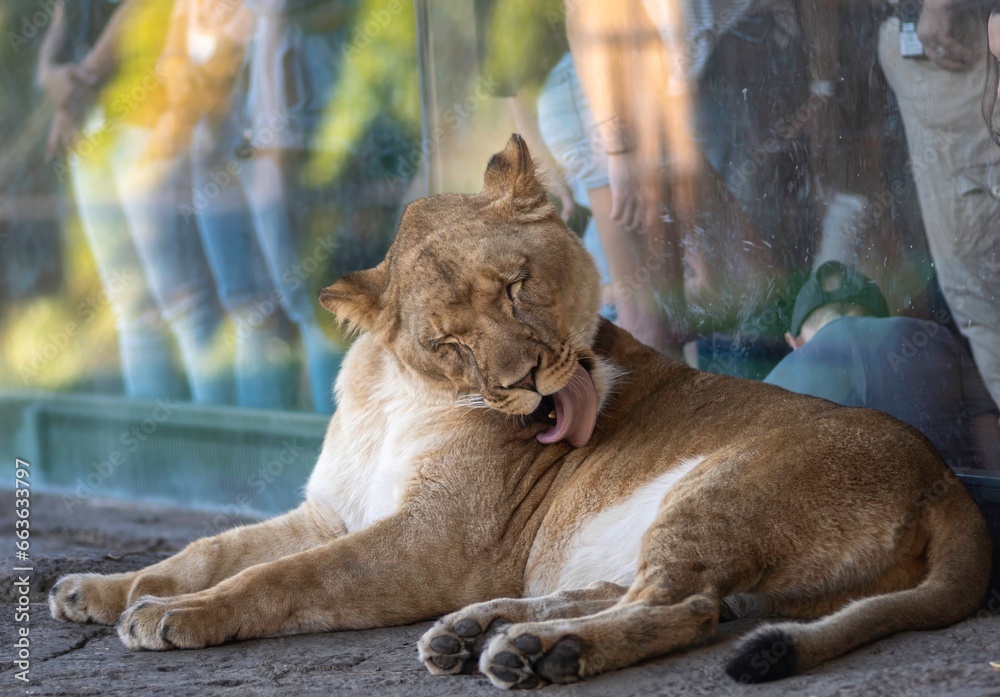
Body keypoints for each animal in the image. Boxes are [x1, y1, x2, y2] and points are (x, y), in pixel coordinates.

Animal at [50, 135, 991, 689]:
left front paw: (174, 616)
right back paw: (481, 631)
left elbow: (282, 578)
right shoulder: (334, 509)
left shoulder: (434, 541)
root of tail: (947, 481)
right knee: (653, 592)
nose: (529, 382)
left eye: (516, 285)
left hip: (724, 488)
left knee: (683, 606)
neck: (396, 394)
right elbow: (209, 548)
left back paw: (541, 651)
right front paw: (100, 589)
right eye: (448, 340)